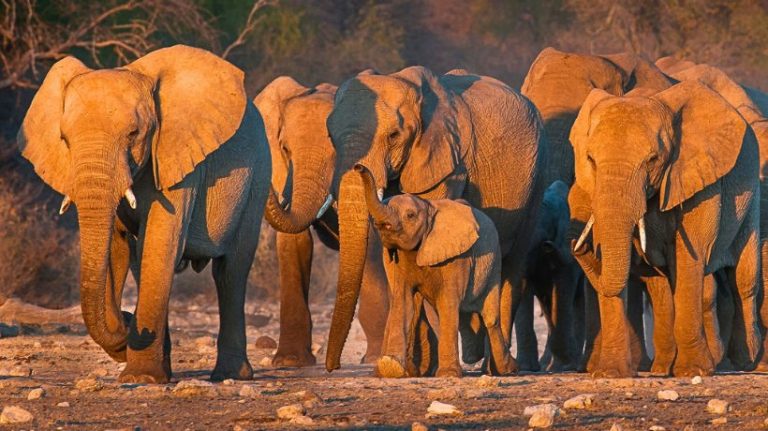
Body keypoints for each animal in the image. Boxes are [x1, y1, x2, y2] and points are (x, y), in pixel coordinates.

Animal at [17, 45, 272, 383]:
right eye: (65, 140)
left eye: (134, 133)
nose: (126, 323)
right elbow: (120, 246)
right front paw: (139, 362)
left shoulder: (175, 157)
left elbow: (161, 240)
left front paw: (141, 378)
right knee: (144, 266)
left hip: (257, 179)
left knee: (231, 270)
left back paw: (230, 375)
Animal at [356, 165, 515, 378]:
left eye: (410, 215)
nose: (358, 167)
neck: (429, 207)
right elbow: (404, 303)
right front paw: (390, 368)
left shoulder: (458, 258)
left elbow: (448, 301)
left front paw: (449, 375)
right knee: (435, 317)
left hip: (493, 263)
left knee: (490, 318)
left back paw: (506, 370)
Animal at [515, 180, 584, 372]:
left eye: (541, 239)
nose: (548, 244)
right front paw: (525, 368)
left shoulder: (567, 253)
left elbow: (563, 289)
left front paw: (565, 363)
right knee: (547, 305)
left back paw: (570, 364)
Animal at [568, 81, 762, 377]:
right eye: (590, 159)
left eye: (652, 159)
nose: (575, 243)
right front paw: (610, 374)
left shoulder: (700, 181)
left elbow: (689, 257)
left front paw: (694, 371)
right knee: (660, 287)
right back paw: (661, 369)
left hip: (751, 202)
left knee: (743, 278)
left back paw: (746, 362)